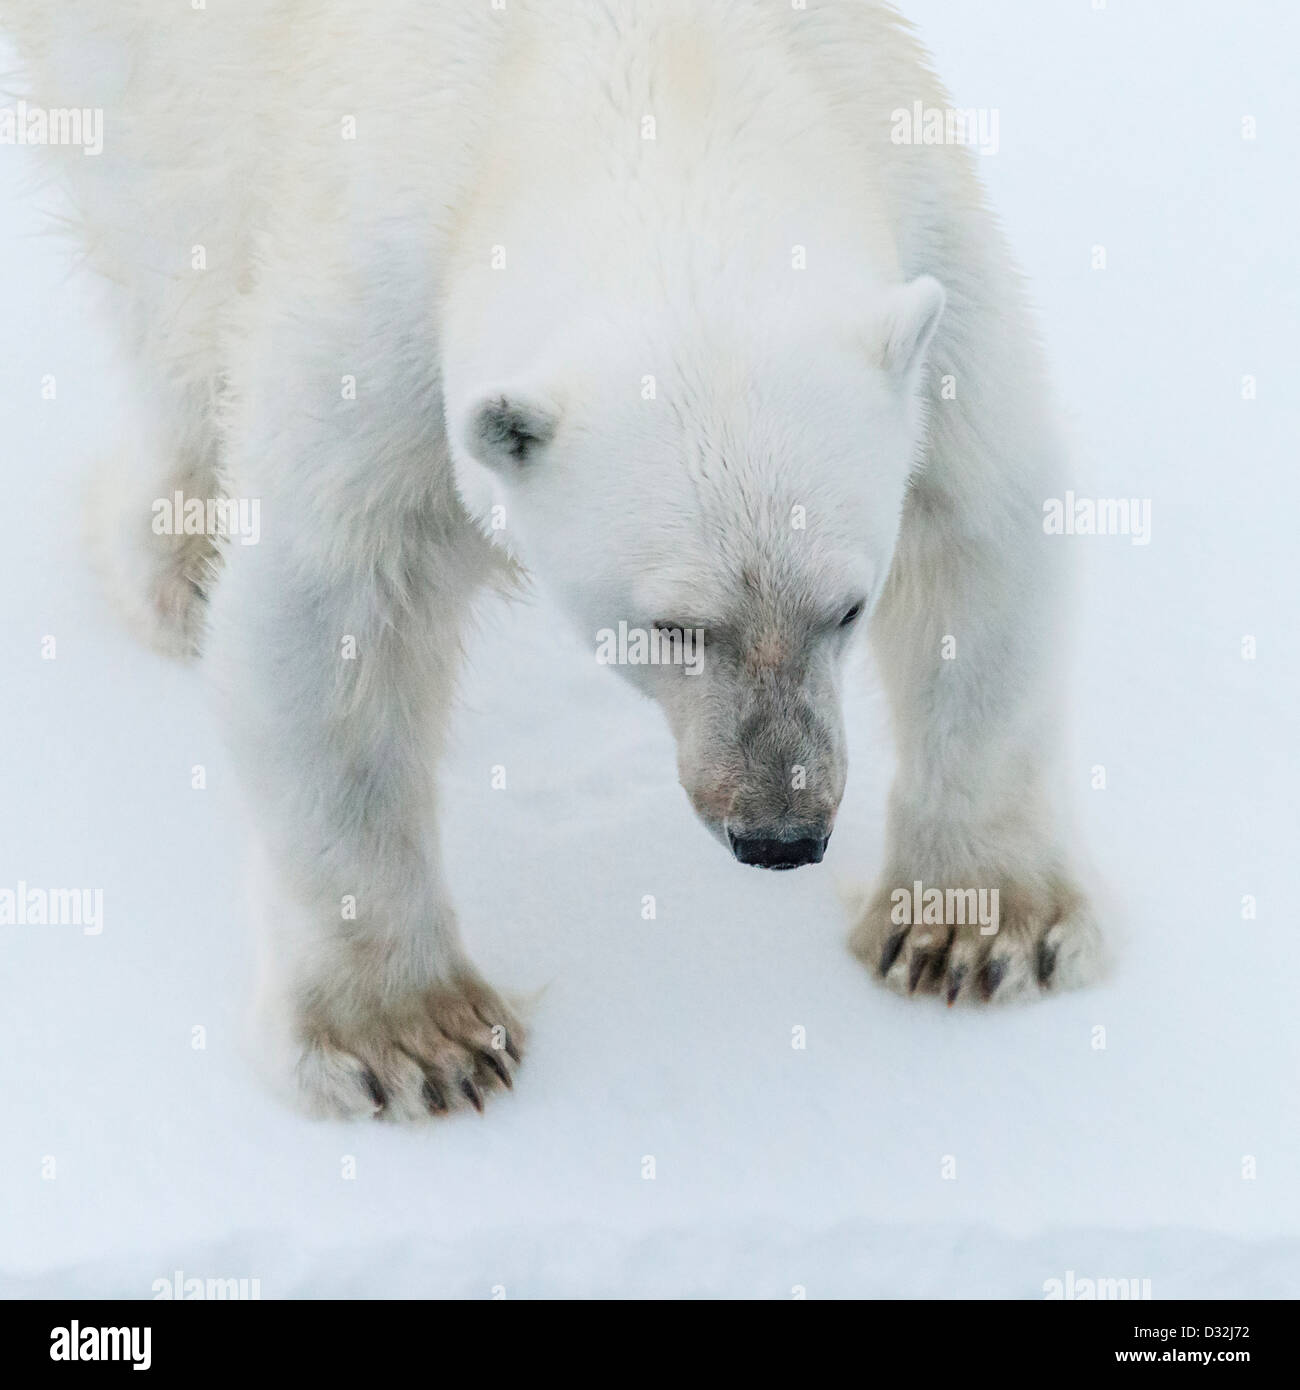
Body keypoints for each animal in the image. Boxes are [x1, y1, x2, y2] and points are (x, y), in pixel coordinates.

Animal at [4, 0, 1103, 1120]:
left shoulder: (921, 216)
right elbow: (328, 612)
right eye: (668, 627)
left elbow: (979, 520)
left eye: (847, 607)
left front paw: (972, 931)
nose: (780, 834)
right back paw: (179, 554)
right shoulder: (378, 306)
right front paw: (411, 1039)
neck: (653, 65)